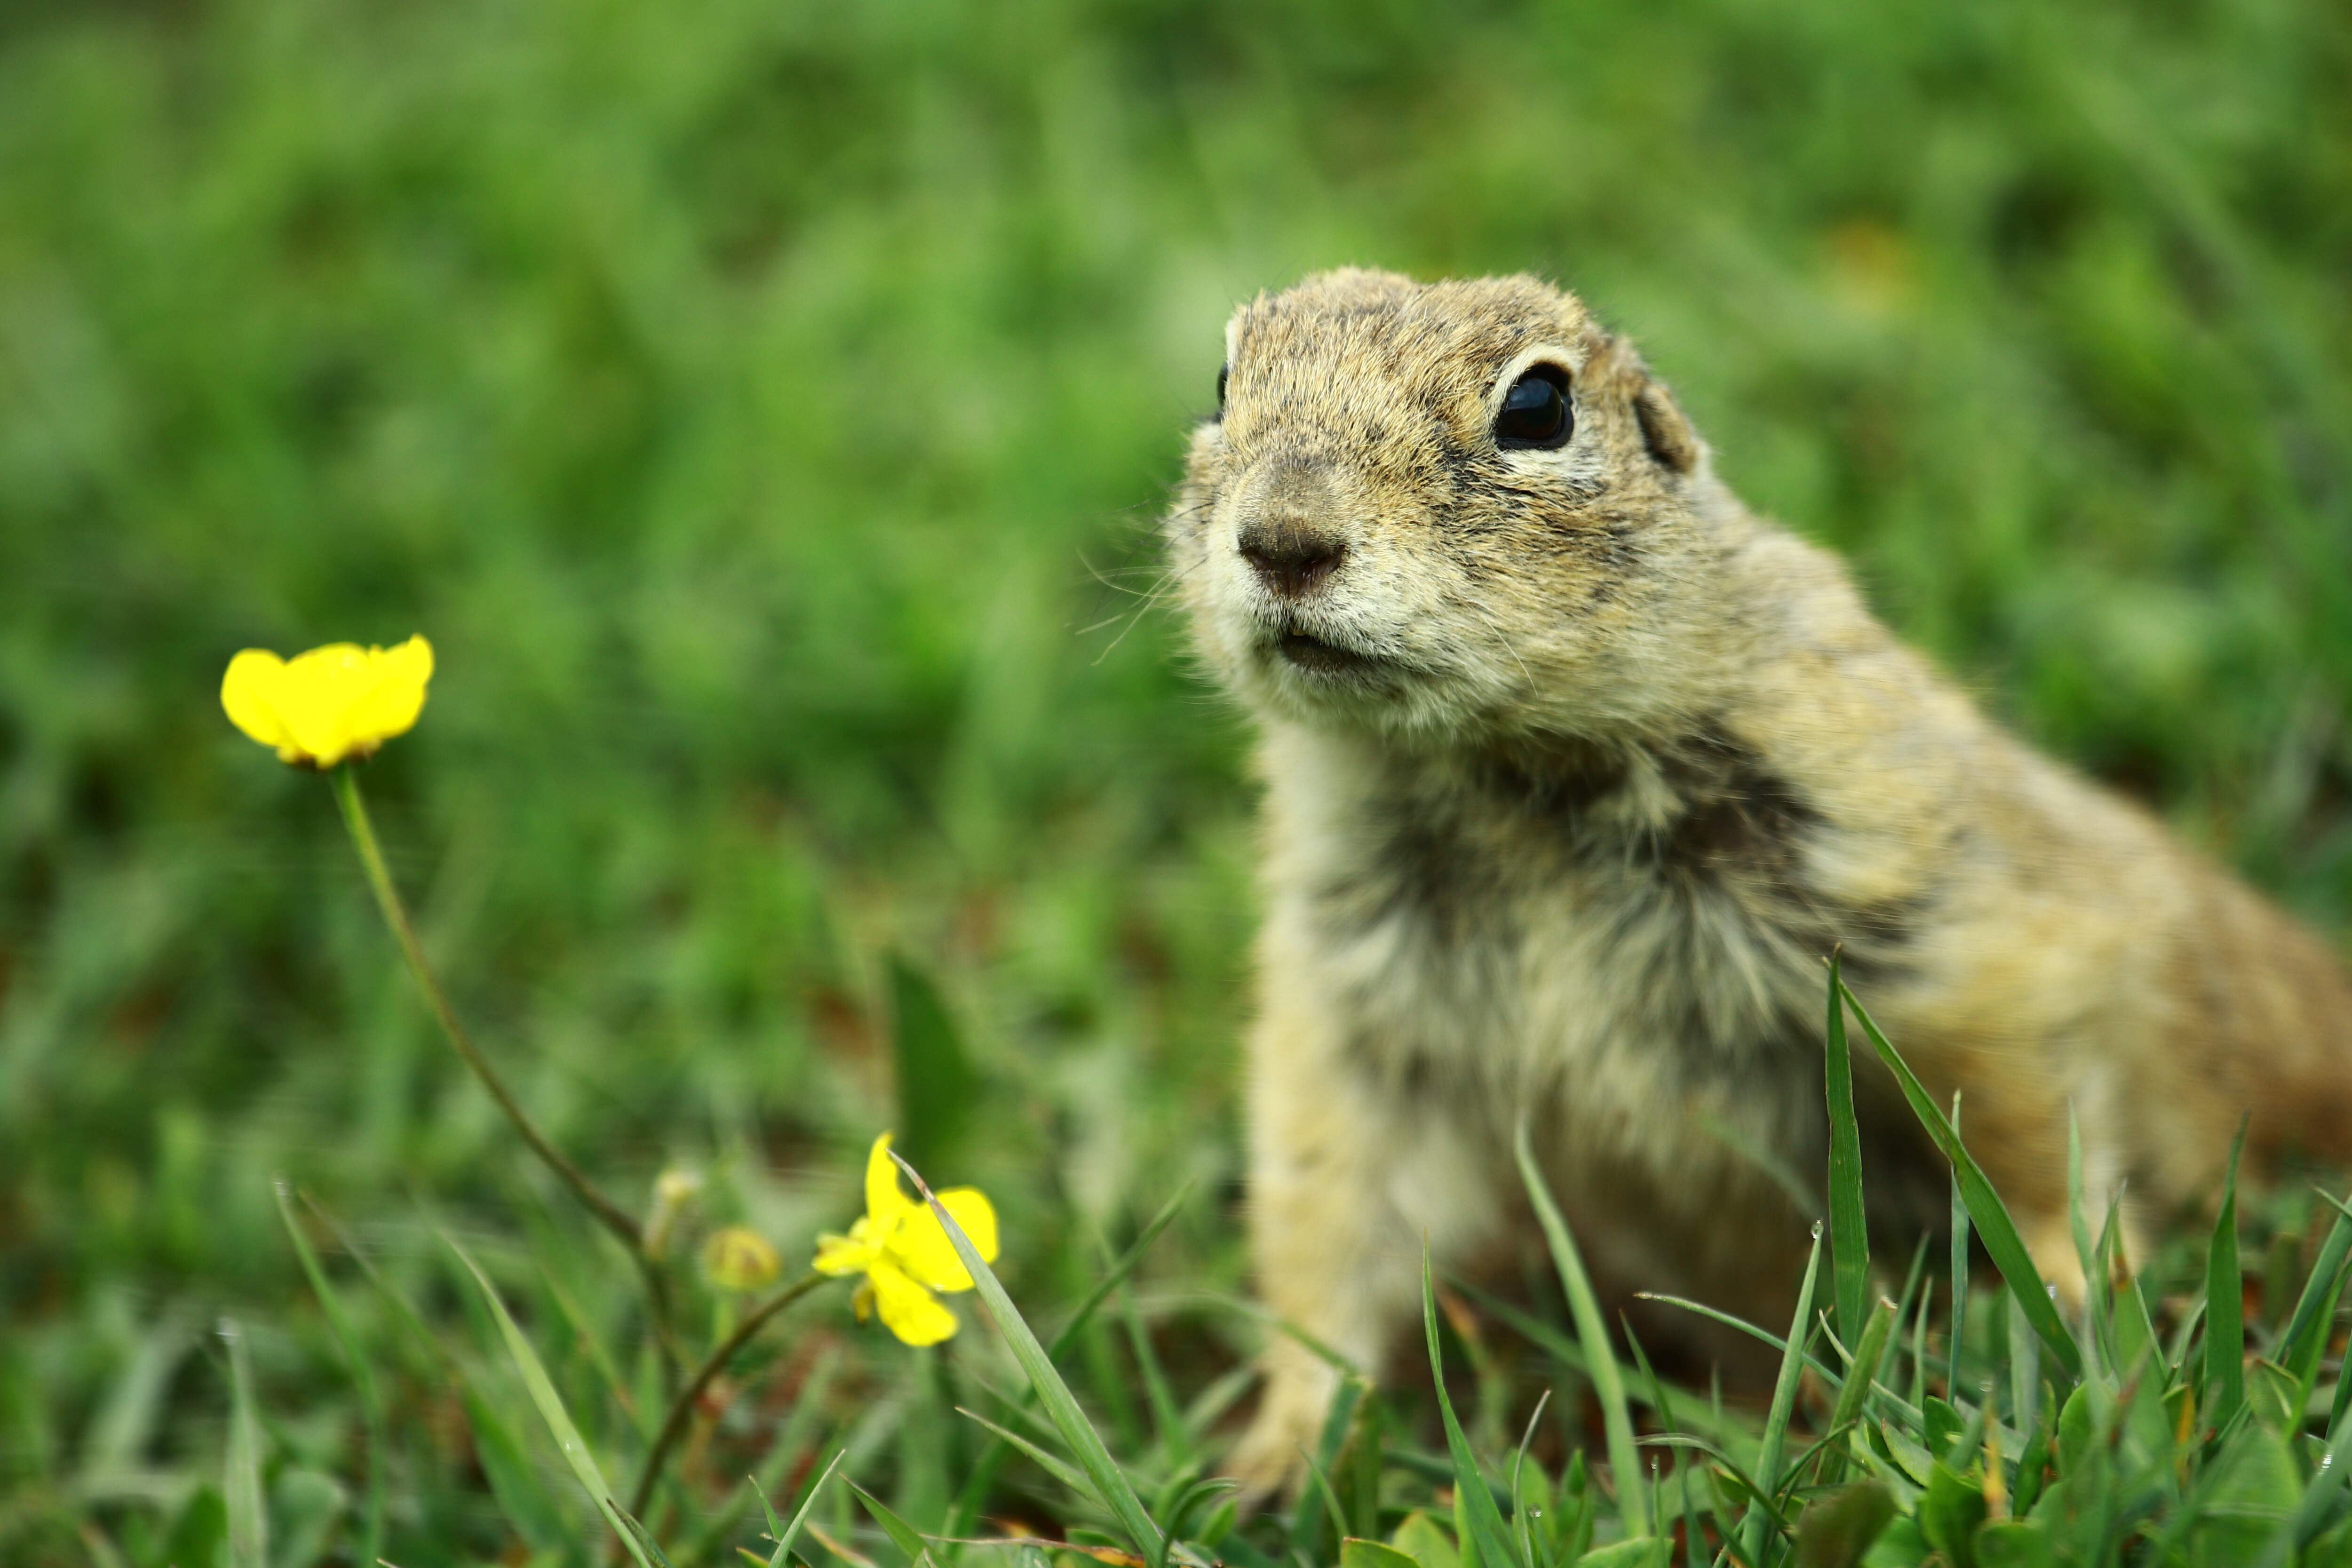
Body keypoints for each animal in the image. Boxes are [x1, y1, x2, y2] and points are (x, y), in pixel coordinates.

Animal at [1162, 267, 2352, 1497]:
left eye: (1538, 407)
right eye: (1224, 381)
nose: (1284, 540)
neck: (1507, 782)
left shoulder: (1934, 919)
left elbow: (2024, 1123)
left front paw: (2078, 1311)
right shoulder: (1354, 1004)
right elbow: (1327, 1210)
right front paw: (1276, 1456)